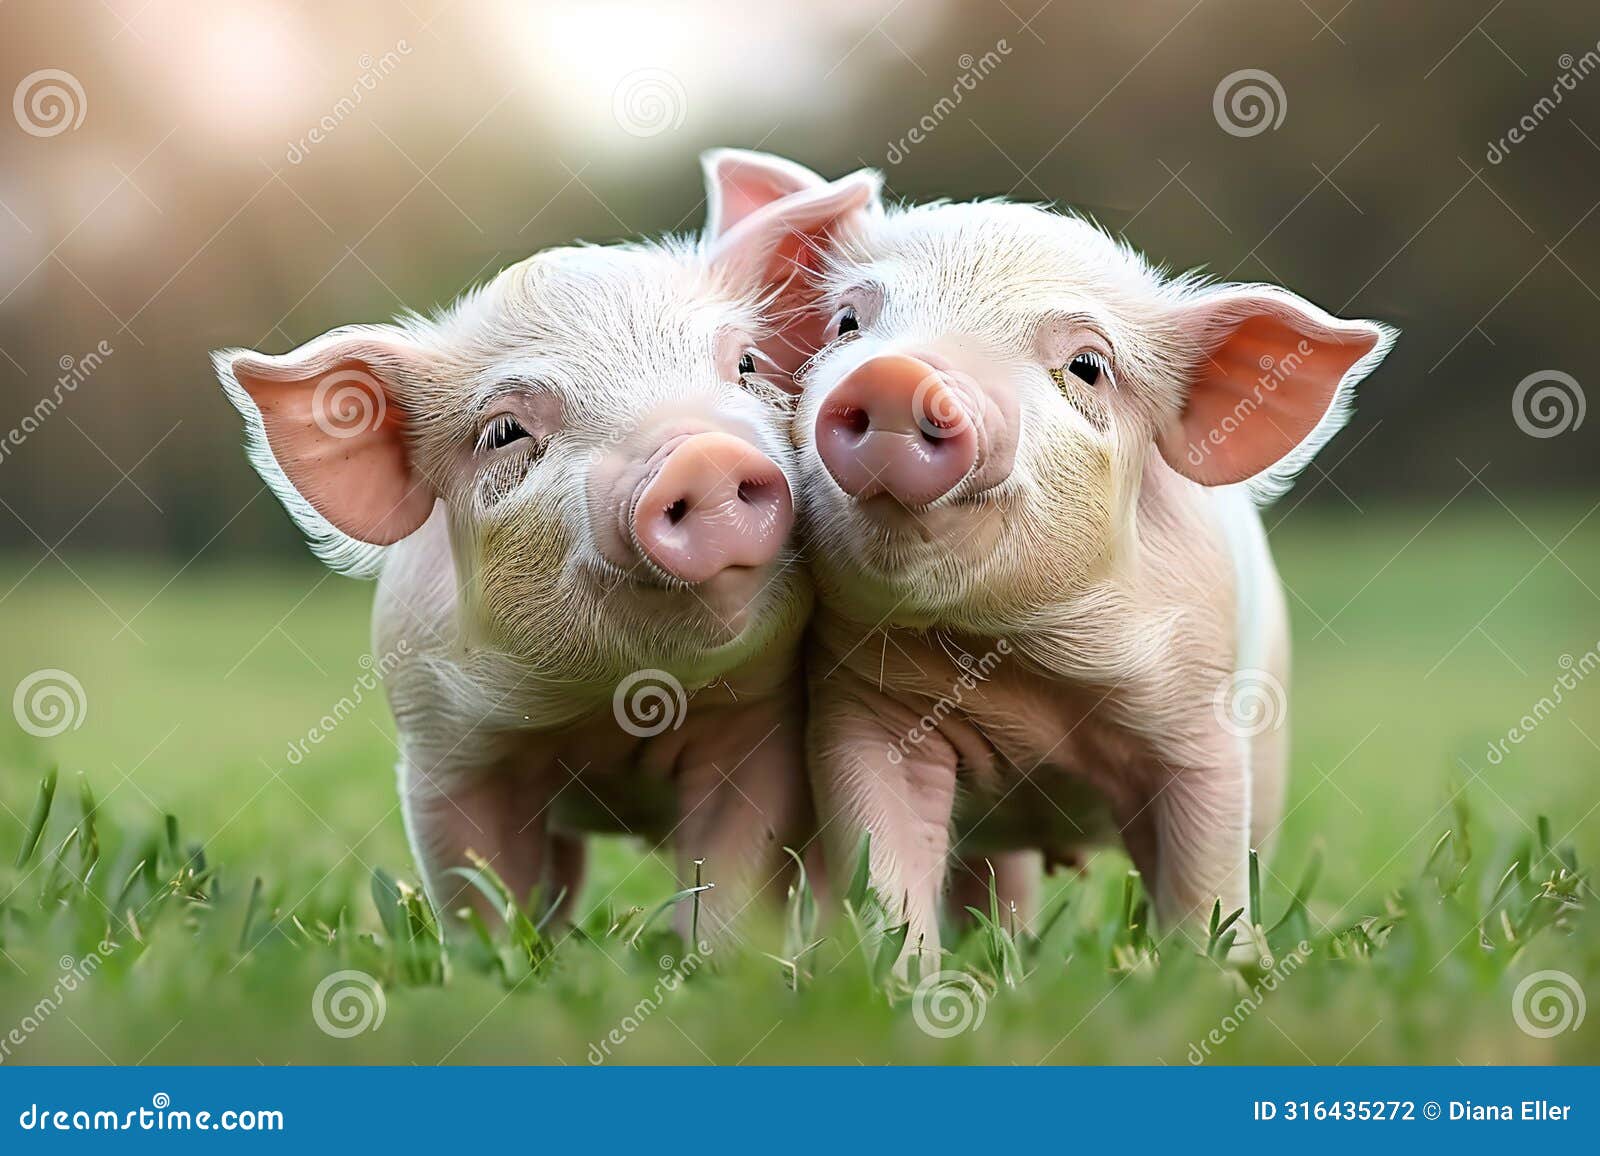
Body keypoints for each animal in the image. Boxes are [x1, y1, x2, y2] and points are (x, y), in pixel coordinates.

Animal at [212, 166, 877, 942]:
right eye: (505, 431)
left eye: (745, 364)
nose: (700, 456)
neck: (614, 710)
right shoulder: (442, 746)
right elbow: (479, 887)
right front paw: (496, 959)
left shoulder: (758, 729)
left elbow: (731, 879)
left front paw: (717, 960)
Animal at [701, 150, 1395, 961]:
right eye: (846, 323)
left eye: (1088, 365)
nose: (897, 376)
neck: (1027, 679)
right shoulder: (865, 713)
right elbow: (885, 863)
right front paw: (902, 979)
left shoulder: (1204, 724)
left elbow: (1208, 880)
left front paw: (1209, 973)